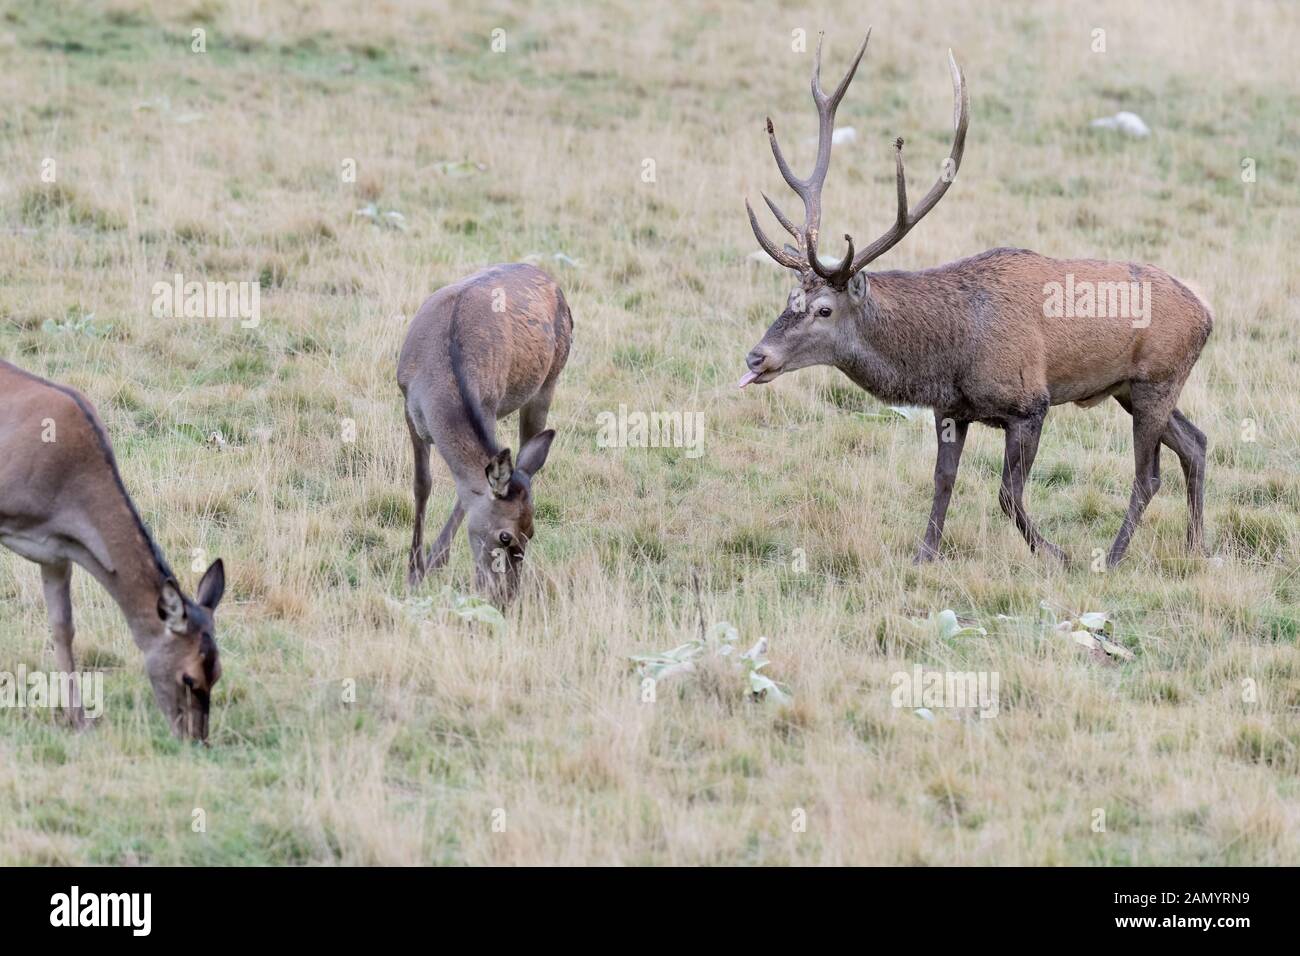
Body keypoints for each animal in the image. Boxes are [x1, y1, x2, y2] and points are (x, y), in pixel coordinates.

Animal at [0, 360, 225, 741]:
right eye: (188, 676)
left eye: (218, 672)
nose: (196, 739)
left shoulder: (56, 552)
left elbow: (63, 627)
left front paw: (79, 720)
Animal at [398, 263, 572, 602]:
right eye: (505, 537)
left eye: (531, 532)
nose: (507, 596)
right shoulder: (409, 409)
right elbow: (422, 485)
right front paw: (414, 571)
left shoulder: (490, 406)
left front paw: (433, 562)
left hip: (549, 382)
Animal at [739, 29, 1212, 567]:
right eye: (789, 296)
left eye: (824, 309)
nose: (756, 356)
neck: (951, 353)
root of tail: (1207, 315)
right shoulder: (951, 410)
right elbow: (943, 481)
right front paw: (925, 553)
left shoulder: (1030, 404)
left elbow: (1008, 494)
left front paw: (1055, 554)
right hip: (1131, 388)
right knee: (1196, 444)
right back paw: (1196, 546)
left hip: (1157, 380)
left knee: (1148, 475)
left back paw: (1112, 557)